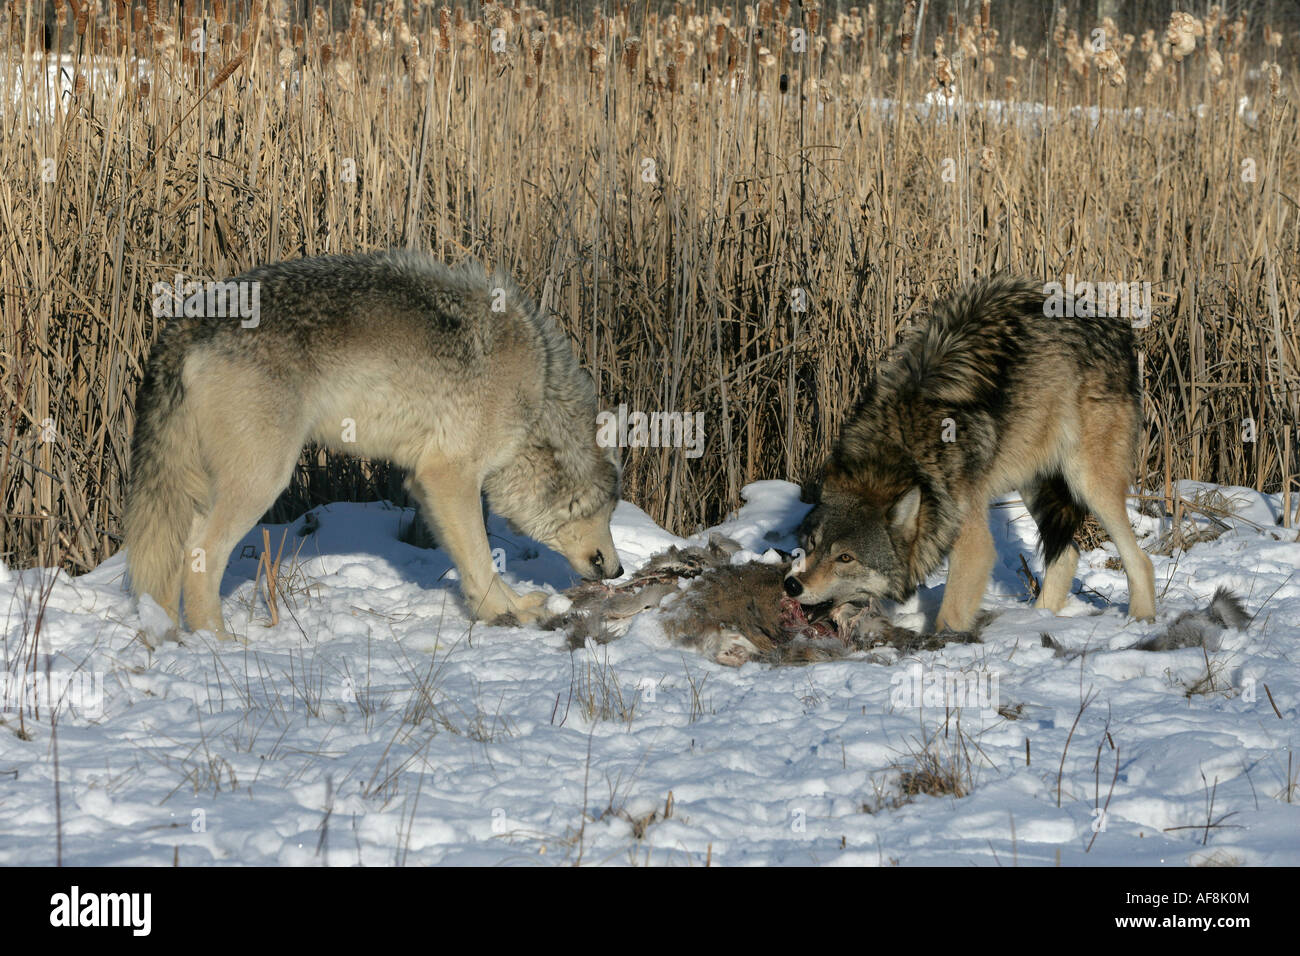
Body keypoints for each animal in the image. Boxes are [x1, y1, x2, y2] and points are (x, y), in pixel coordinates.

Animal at [125, 250, 623, 636]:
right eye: (608, 510)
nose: (619, 570)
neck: (538, 389)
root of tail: (186, 325)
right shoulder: (449, 476)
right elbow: (482, 559)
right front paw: (503, 614)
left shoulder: (424, 484)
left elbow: (474, 561)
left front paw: (513, 606)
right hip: (262, 482)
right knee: (200, 556)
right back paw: (219, 645)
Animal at [784, 274, 1156, 631]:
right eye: (811, 544)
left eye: (845, 558)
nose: (791, 585)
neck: (898, 452)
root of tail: (1118, 327)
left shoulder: (972, 540)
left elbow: (950, 614)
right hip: (1033, 482)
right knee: (1067, 556)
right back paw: (1036, 622)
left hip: (1087, 482)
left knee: (1139, 559)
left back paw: (1140, 619)